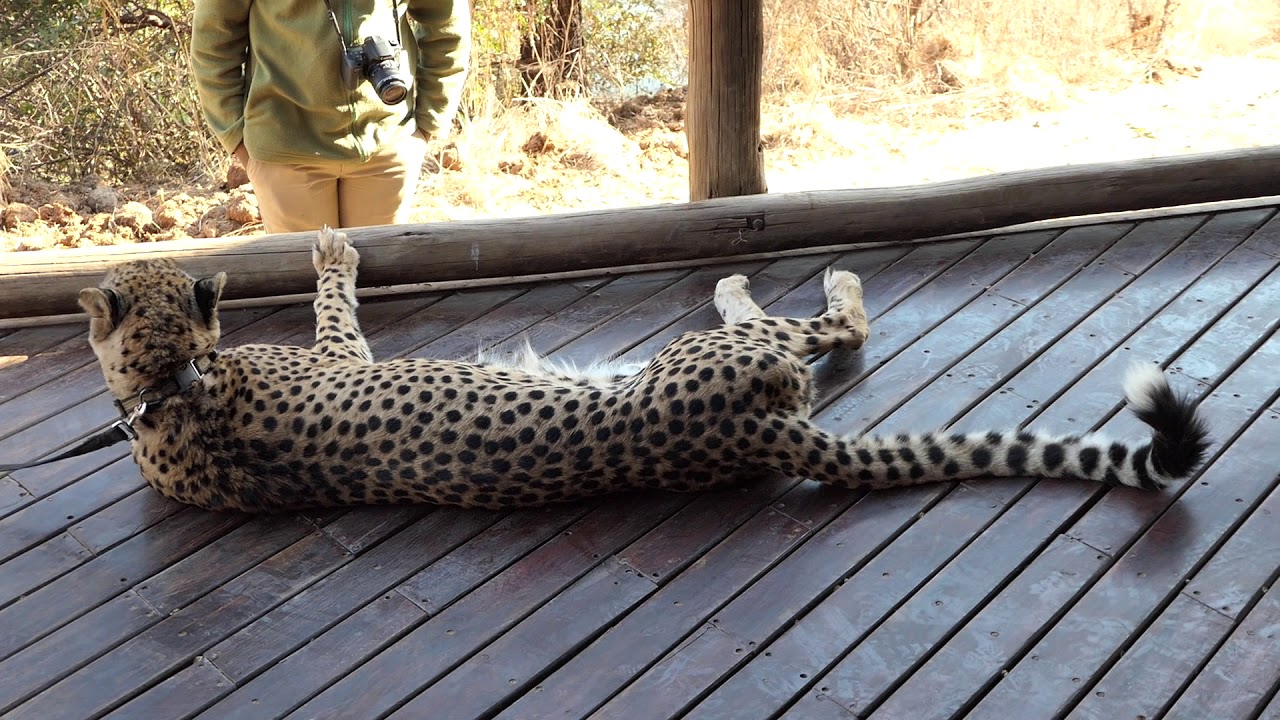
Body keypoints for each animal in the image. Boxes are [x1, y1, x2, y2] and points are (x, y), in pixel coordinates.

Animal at [73, 227, 1210, 513]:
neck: (165, 387)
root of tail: (765, 434)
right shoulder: (337, 353)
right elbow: (332, 303)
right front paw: (333, 254)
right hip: (737, 357)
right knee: (831, 325)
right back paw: (762, 279)